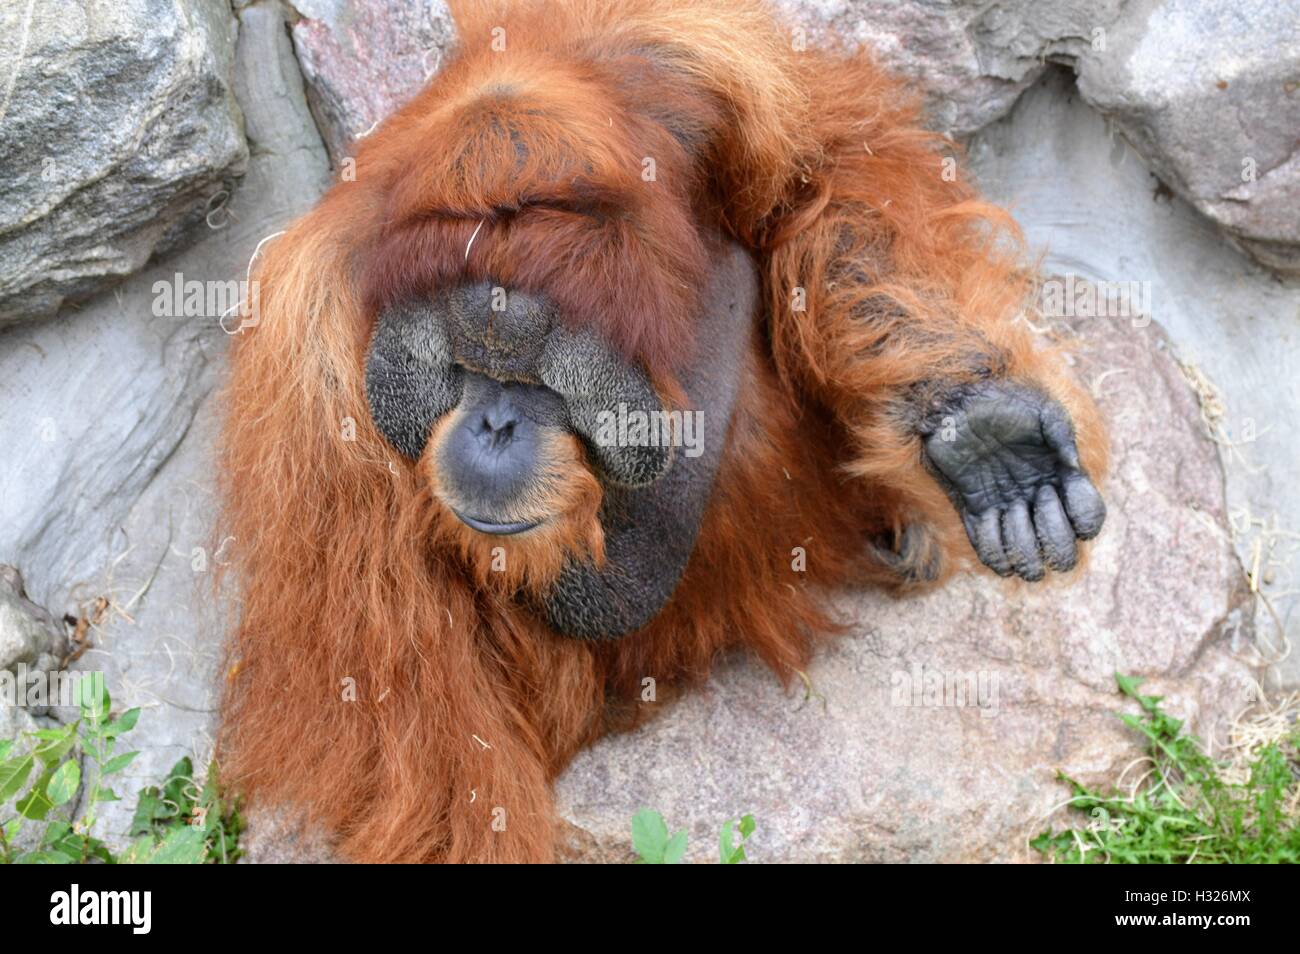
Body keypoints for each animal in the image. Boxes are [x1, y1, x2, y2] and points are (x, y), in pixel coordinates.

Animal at [217, 0, 1107, 862]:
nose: (495, 424)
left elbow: (823, 167)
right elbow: (422, 766)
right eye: (465, 373)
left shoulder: (684, 65)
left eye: (532, 386)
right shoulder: (315, 370)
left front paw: (988, 434)